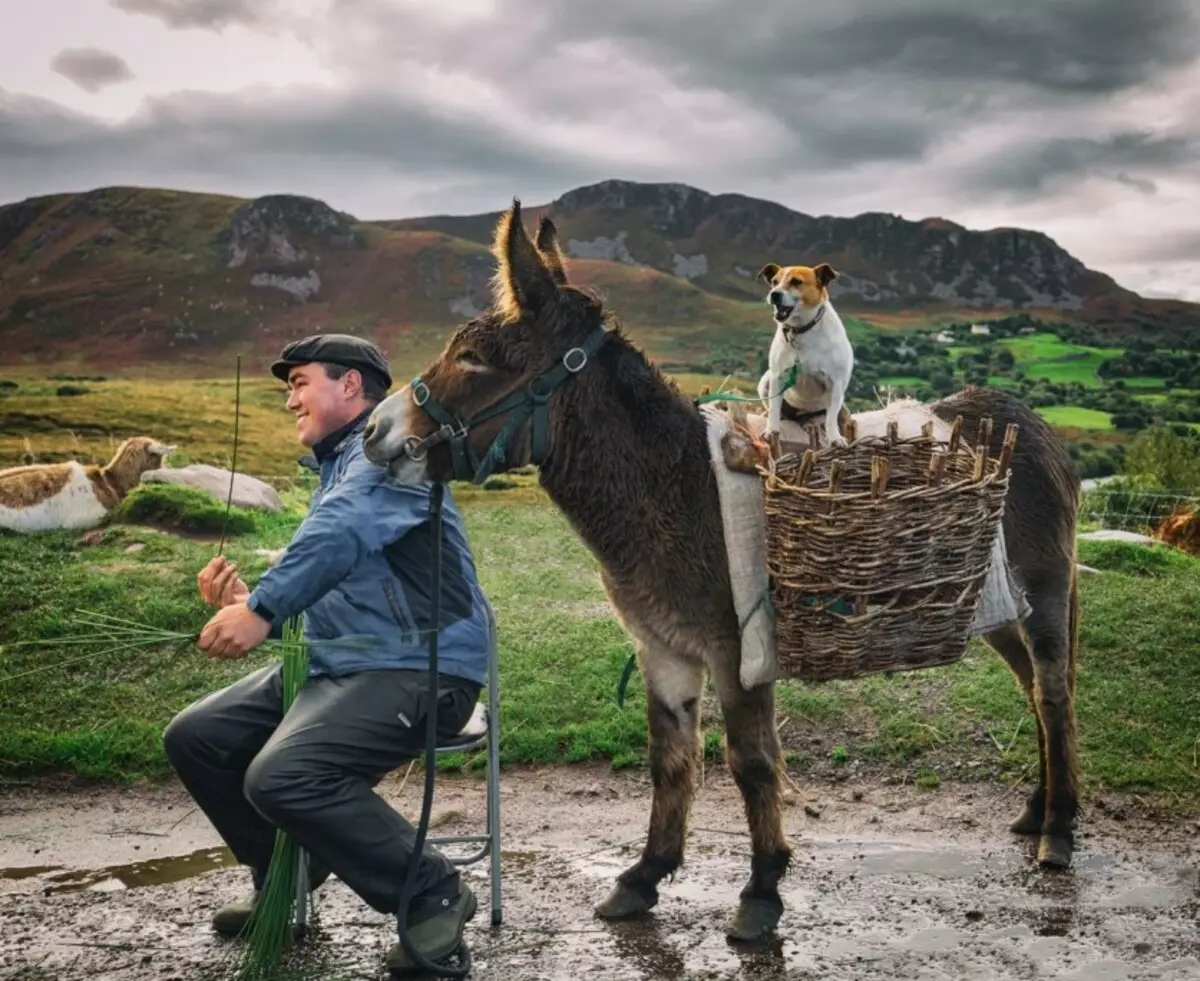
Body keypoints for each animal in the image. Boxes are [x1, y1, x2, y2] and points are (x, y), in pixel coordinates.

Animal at [758, 260, 854, 450]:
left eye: (796, 282)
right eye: (774, 282)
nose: (774, 294)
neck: (802, 329)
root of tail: (799, 416)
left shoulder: (836, 384)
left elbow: (831, 419)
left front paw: (835, 438)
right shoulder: (777, 377)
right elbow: (774, 409)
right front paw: (771, 430)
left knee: (824, 416)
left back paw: (812, 422)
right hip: (765, 382)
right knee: (775, 408)